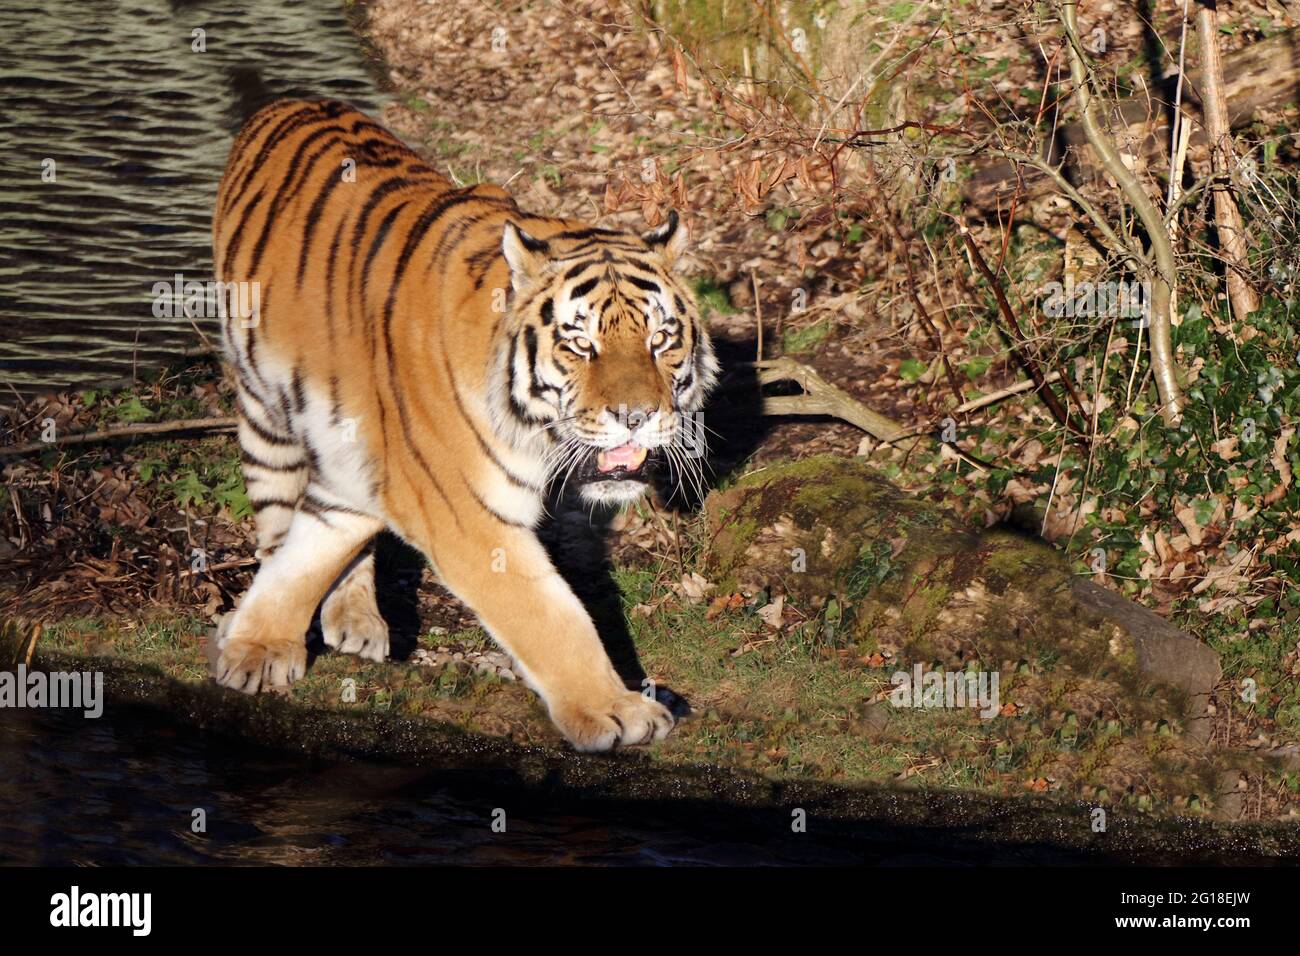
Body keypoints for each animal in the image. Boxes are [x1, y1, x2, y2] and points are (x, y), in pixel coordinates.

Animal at [210, 99, 718, 752]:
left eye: (660, 340)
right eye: (581, 344)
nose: (636, 418)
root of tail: (291, 101)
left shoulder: (389, 478)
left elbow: (309, 554)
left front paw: (250, 643)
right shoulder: (464, 513)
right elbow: (552, 616)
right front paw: (614, 710)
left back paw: (354, 618)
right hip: (265, 413)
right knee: (278, 515)